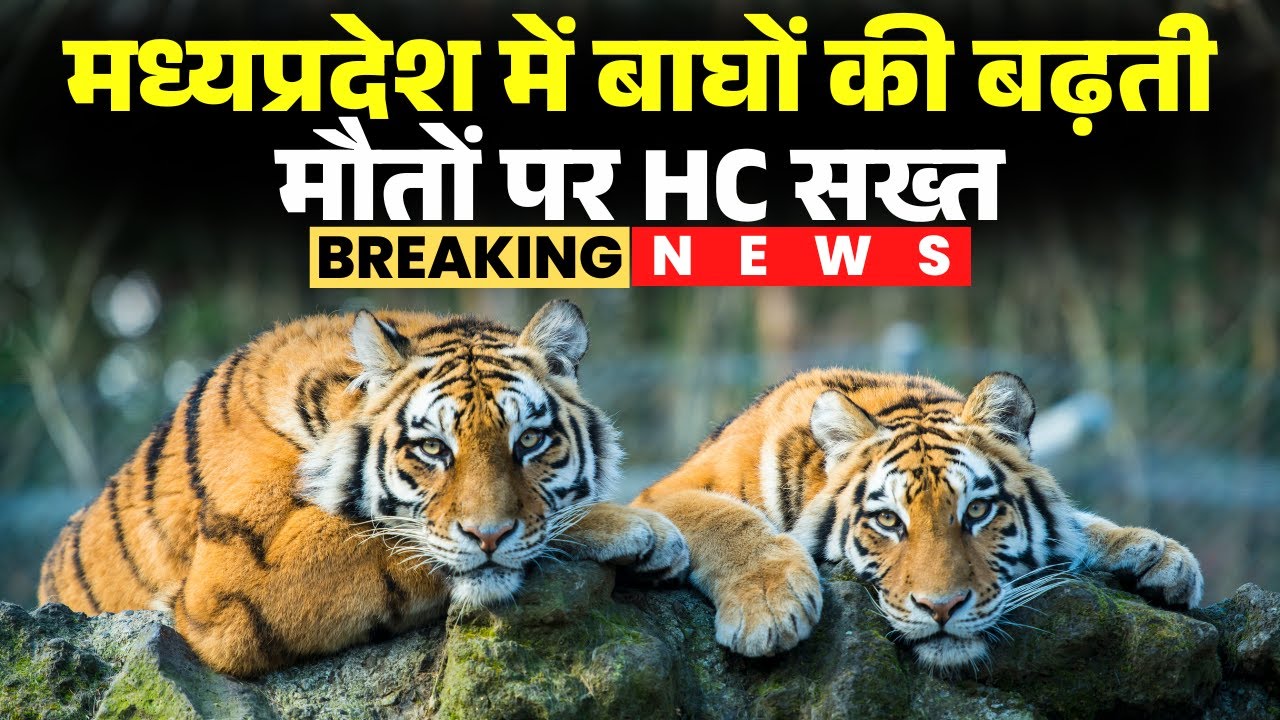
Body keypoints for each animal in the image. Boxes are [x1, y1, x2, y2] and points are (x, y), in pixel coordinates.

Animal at [37, 299, 689, 677]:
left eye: (529, 440)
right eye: (433, 449)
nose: (489, 536)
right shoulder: (233, 582)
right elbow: (391, 540)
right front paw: (638, 527)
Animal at [633, 368, 1203, 670]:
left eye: (977, 510)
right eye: (888, 521)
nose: (942, 608)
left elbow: (1079, 524)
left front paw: (1161, 555)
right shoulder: (659, 495)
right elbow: (726, 517)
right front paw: (769, 608)